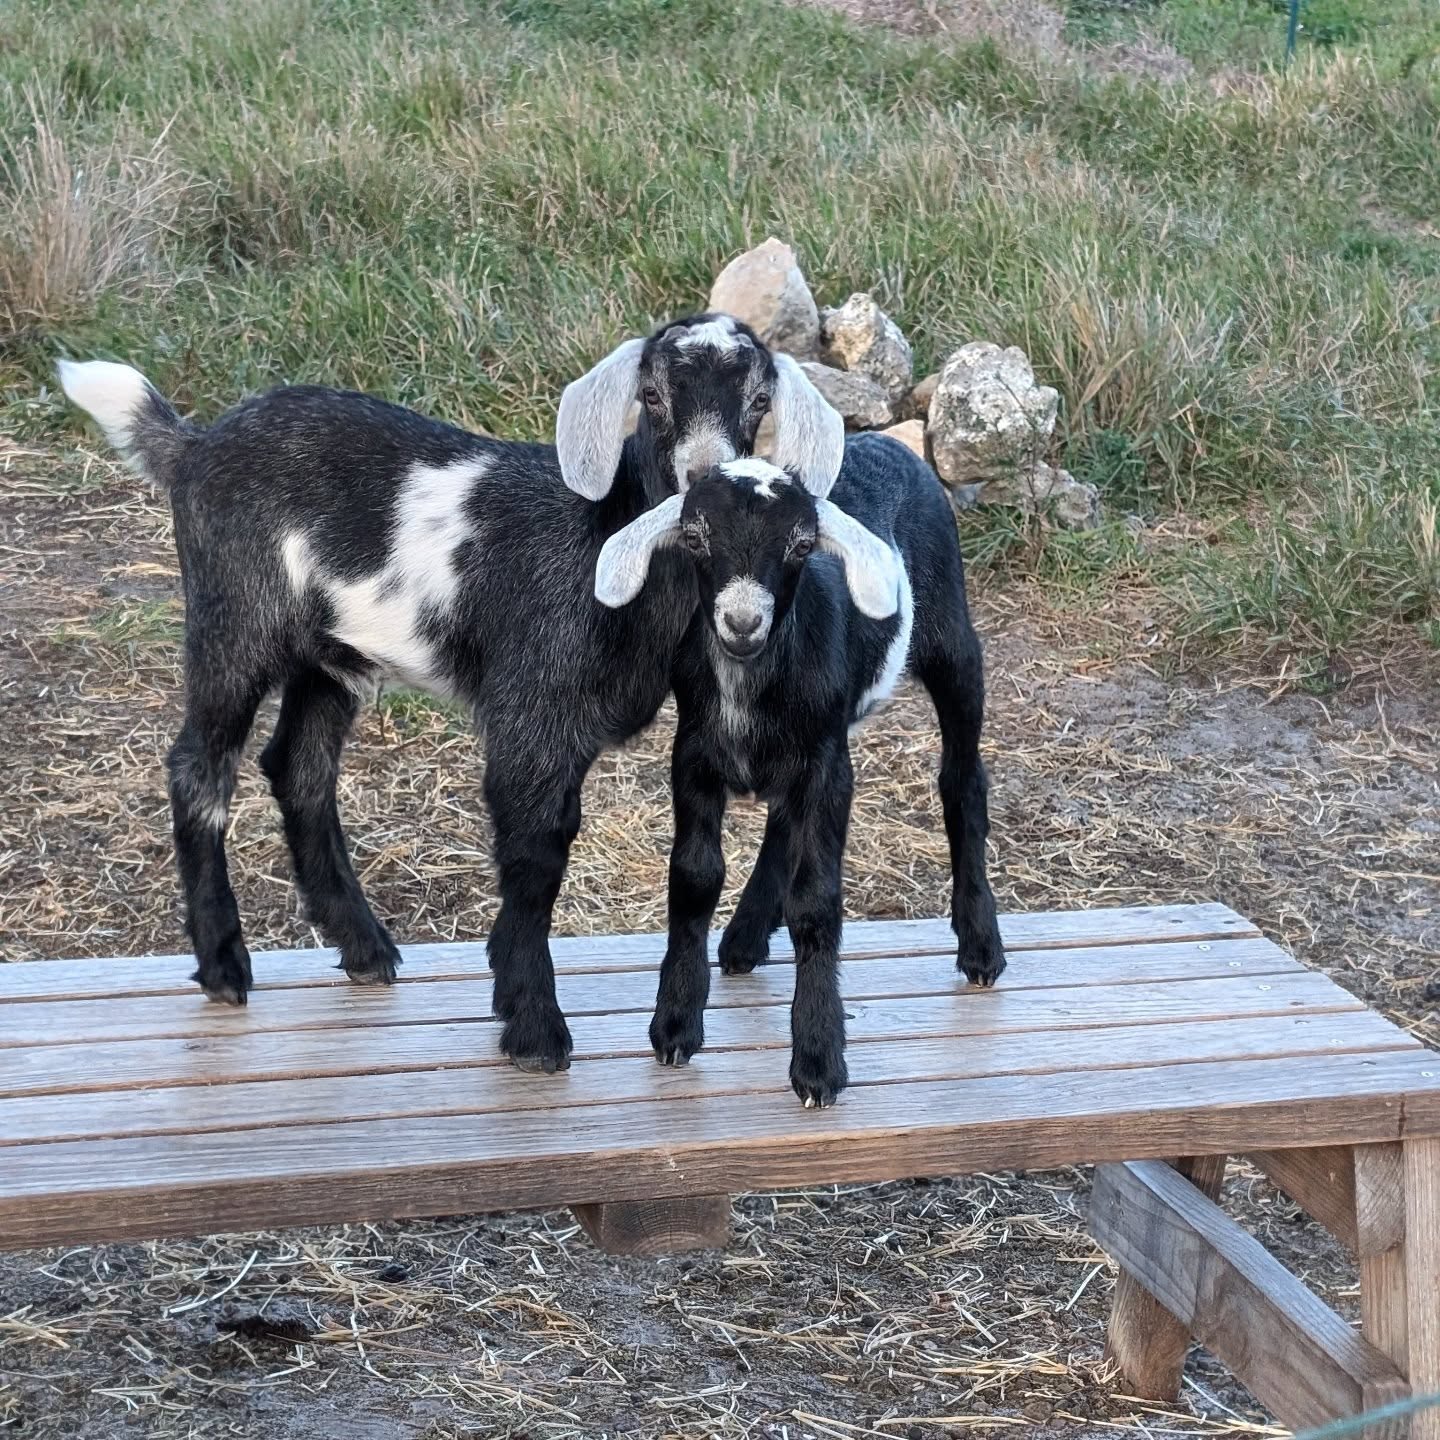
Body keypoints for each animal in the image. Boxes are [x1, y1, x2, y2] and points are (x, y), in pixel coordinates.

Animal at [57, 313, 844, 1074]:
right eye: (650, 397)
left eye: (760, 404)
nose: (704, 484)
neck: (602, 536)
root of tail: (195, 447)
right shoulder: (530, 719)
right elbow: (536, 860)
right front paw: (534, 1029)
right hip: (235, 616)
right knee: (202, 768)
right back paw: (224, 964)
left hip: (327, 651)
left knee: (298, 766)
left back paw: (364, 947)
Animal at [595, 438, 1005, 1106]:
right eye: (694, 535)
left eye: (801, 543)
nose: (741, 623)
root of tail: (889, 443)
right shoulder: (695, 756)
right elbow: (694, 876)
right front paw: (676, 1023)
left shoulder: (828, 766)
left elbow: (817, 901)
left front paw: (817, 1057)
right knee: (784, 825)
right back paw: (743, 937)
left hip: (952, 640)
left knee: (962, 780)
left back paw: (980, 944)